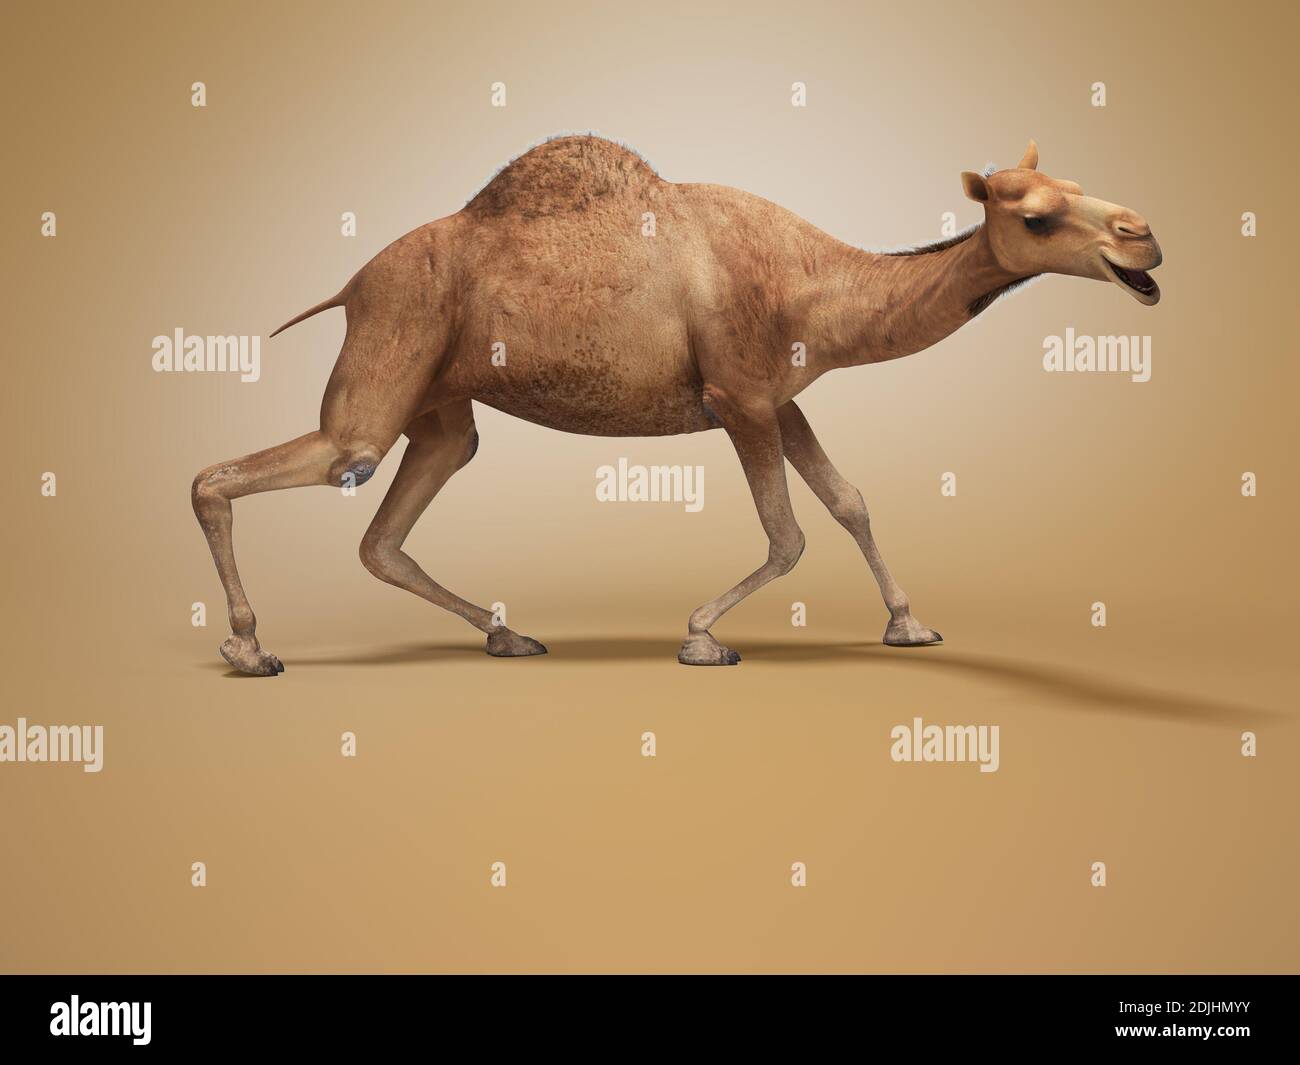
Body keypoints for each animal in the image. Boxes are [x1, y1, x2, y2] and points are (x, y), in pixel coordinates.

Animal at [192, 135, 1161, 675]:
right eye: (1035, 217)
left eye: (1079, 188)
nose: (1142, 234)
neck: (815, 285)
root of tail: (352, 283)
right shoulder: (737, 394)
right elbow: (789, 534)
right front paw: (701, 635)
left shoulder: (778, 397)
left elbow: (849, 501)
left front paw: (909, 624)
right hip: (390, 351)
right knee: (261, 472)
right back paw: (249, 648)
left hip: (441, 400)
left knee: (385, 534)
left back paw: (508, 637)